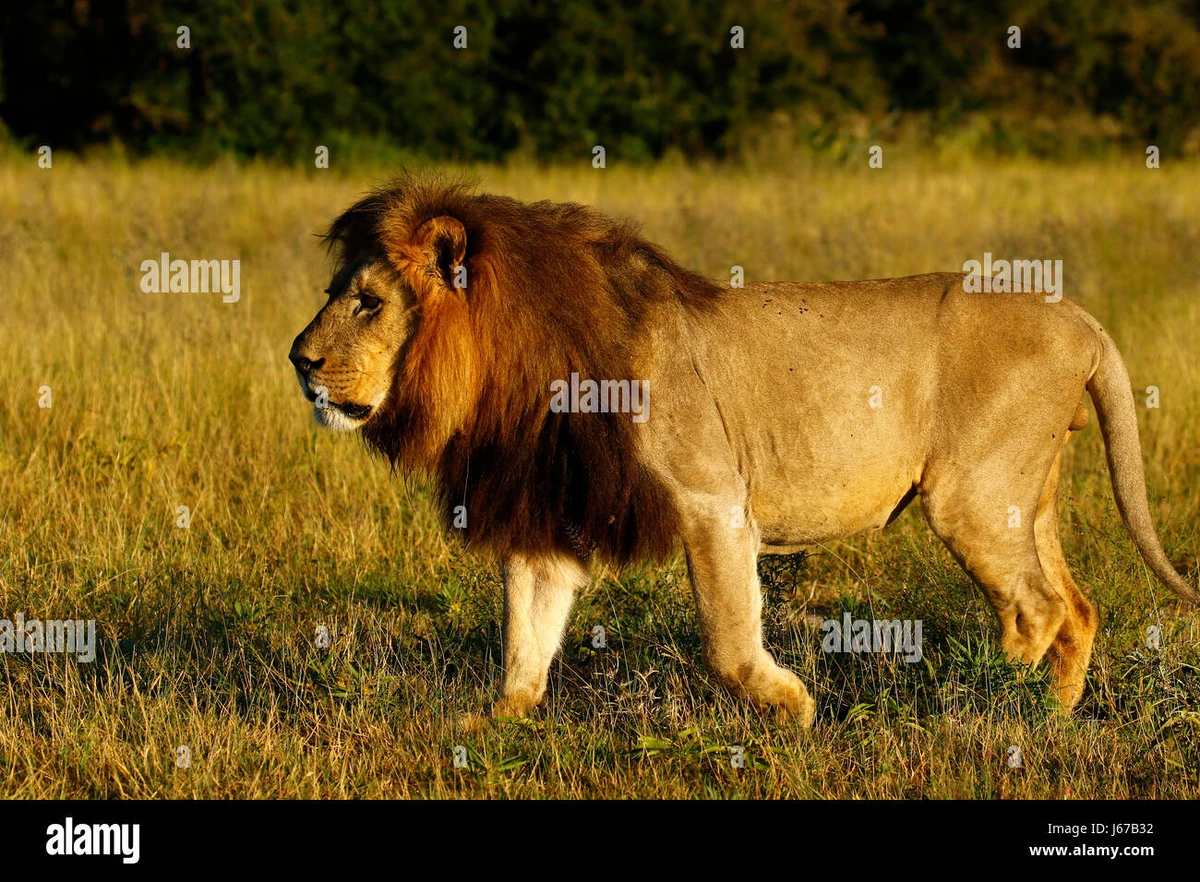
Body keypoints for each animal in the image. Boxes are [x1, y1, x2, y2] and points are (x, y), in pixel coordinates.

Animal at [289, 173, 1197, 726]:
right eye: (340, 293)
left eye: (367, 302)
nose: (299, 360)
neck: (516, 370)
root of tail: (1079, 317)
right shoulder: (554, 507)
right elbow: (525, 635)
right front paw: (496, 724)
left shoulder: (712, 499)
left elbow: (728, 639)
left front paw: (792, 707)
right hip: (1024, 497)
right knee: (1077, 606)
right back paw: (1048, 718)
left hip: (969, 495)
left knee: (1035, 610)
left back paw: (980, 708)